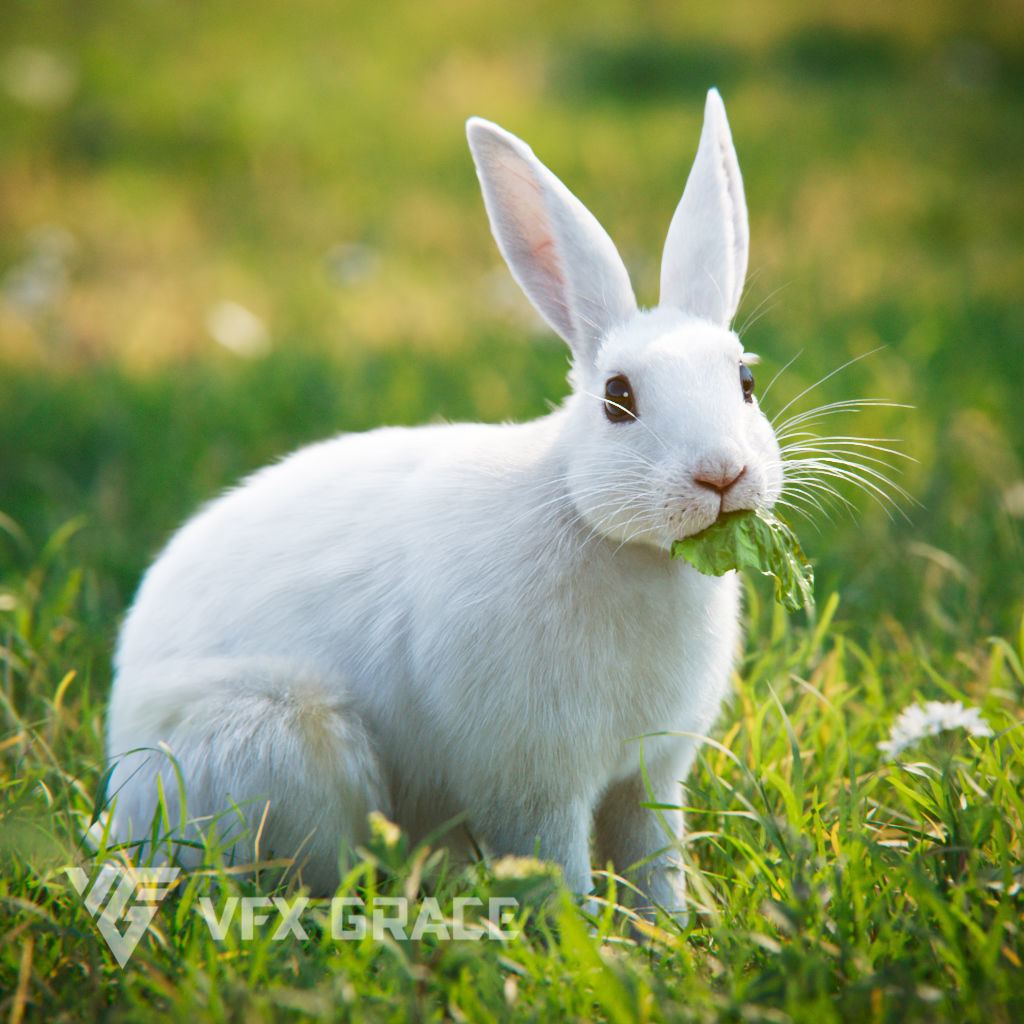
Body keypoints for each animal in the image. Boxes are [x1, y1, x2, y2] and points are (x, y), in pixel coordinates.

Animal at [105, 88, 783, 914]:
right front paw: (583, 935)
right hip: (277, 747)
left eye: (745, 380)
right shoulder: (532, 782)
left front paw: (668, 931)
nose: (721, 473)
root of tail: (125, 783)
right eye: (617, 399)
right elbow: (557, 866)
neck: (605, 534)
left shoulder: (647, 777)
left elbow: (653, 861)